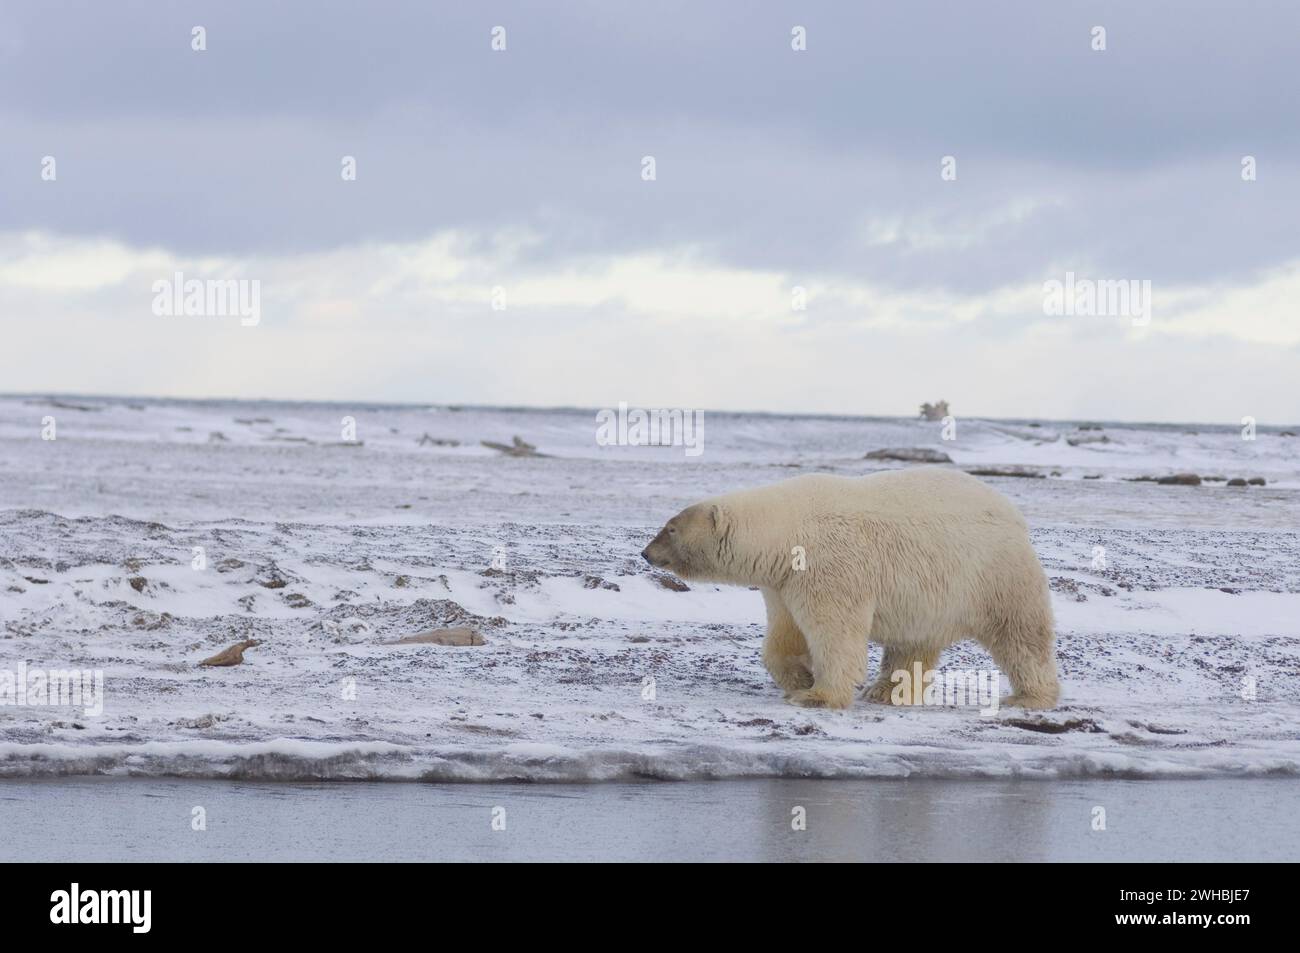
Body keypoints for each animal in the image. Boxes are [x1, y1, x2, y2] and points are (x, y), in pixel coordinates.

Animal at [641, 467, 1060, 710]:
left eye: (671, 528)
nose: (646, 552)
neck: (786, 531)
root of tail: (1014, 513)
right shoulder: (783, 579)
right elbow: (785, 633)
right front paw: (800, 678)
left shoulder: (829, 565)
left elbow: (835, 631)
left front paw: (817, 695)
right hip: (930, 593)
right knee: (913, 643)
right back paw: (886, 691)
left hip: (994, 573)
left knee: (1020, 634)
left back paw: (1028, 696)